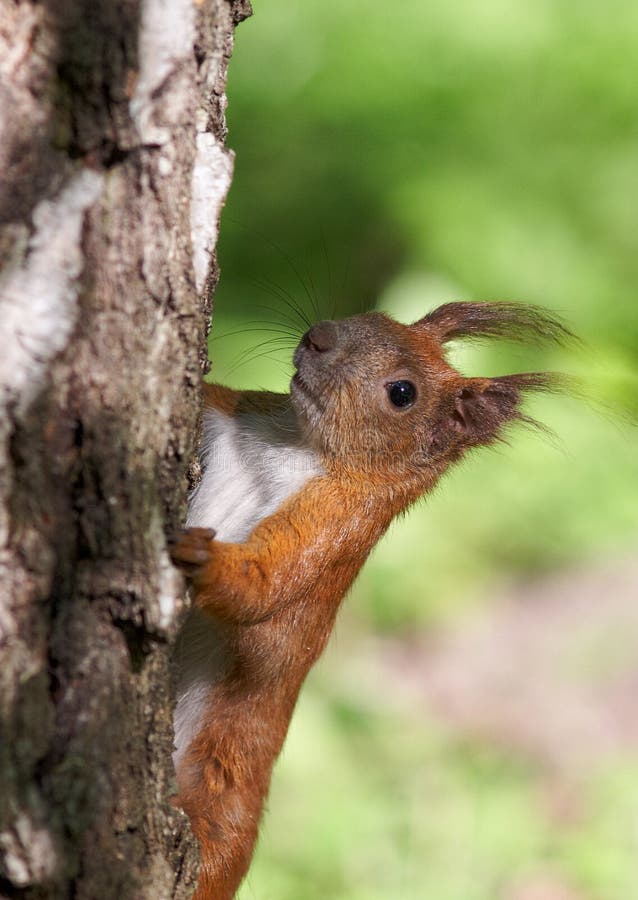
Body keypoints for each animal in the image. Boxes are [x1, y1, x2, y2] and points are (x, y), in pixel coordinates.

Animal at [170, 300, 569, 899]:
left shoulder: (333, 523)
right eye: (377, 316)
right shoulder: (237, 413)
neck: (289, 441)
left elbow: (263, 584)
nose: (318, 337)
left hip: (218, 803)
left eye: (402, 393)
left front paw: (200, 558)